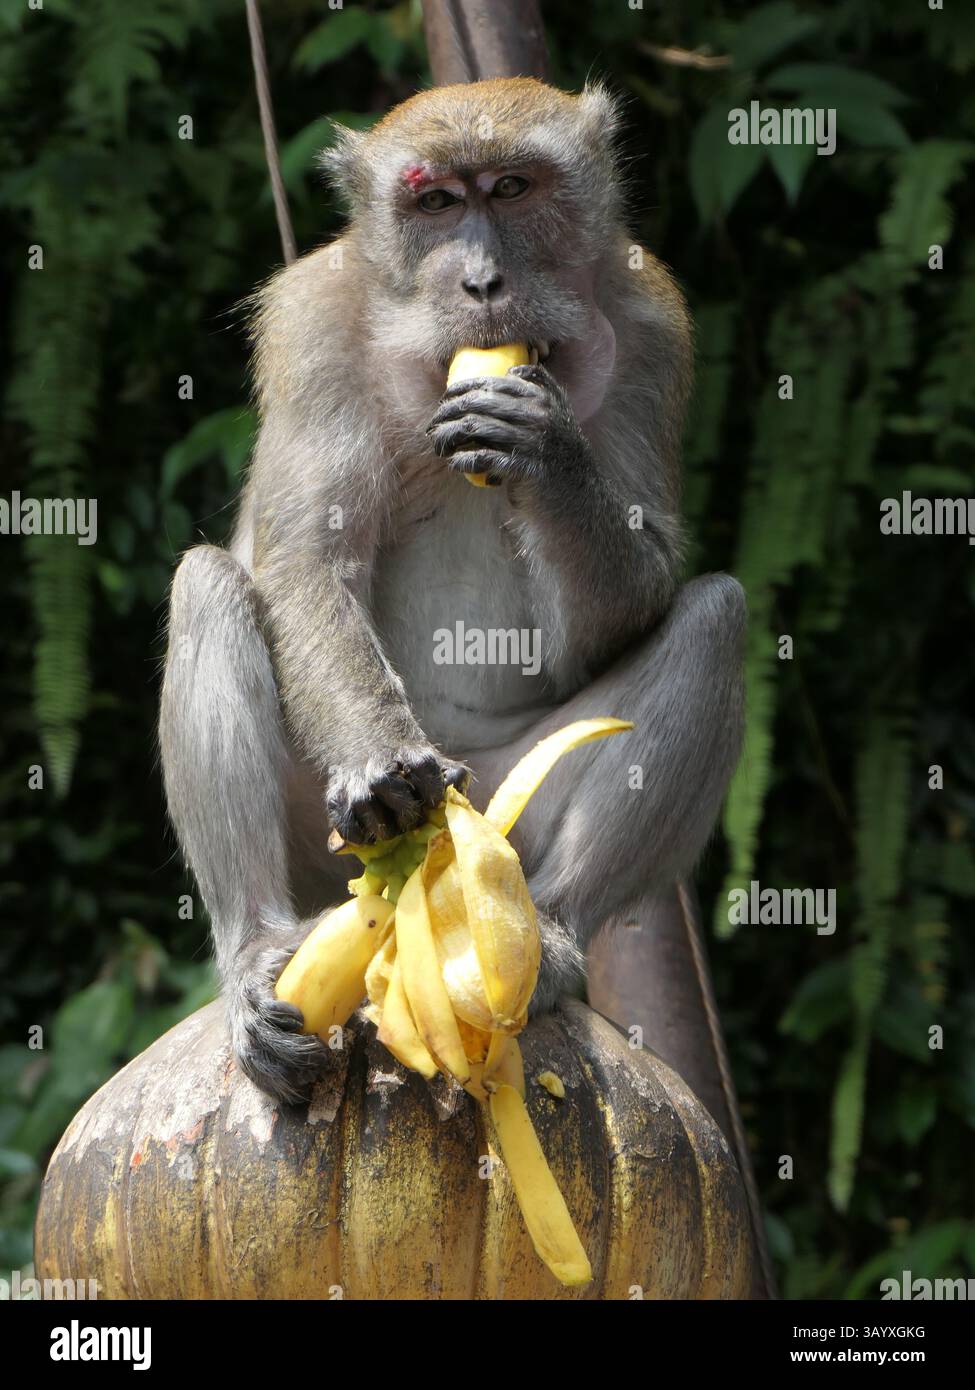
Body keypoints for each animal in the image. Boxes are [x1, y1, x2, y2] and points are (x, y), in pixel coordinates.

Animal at [159, 77, 746, 1105]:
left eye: (511, 188)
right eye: (434, 203)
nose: (481, 284)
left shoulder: (651, 324)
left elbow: (631, 600)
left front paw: (548, 454)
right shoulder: (313, 323)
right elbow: (311, 560)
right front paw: (380, 766)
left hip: (506, 818)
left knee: (715, 617)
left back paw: (556, 936)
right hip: (321, 849)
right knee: (207, 587)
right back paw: (258, 951)